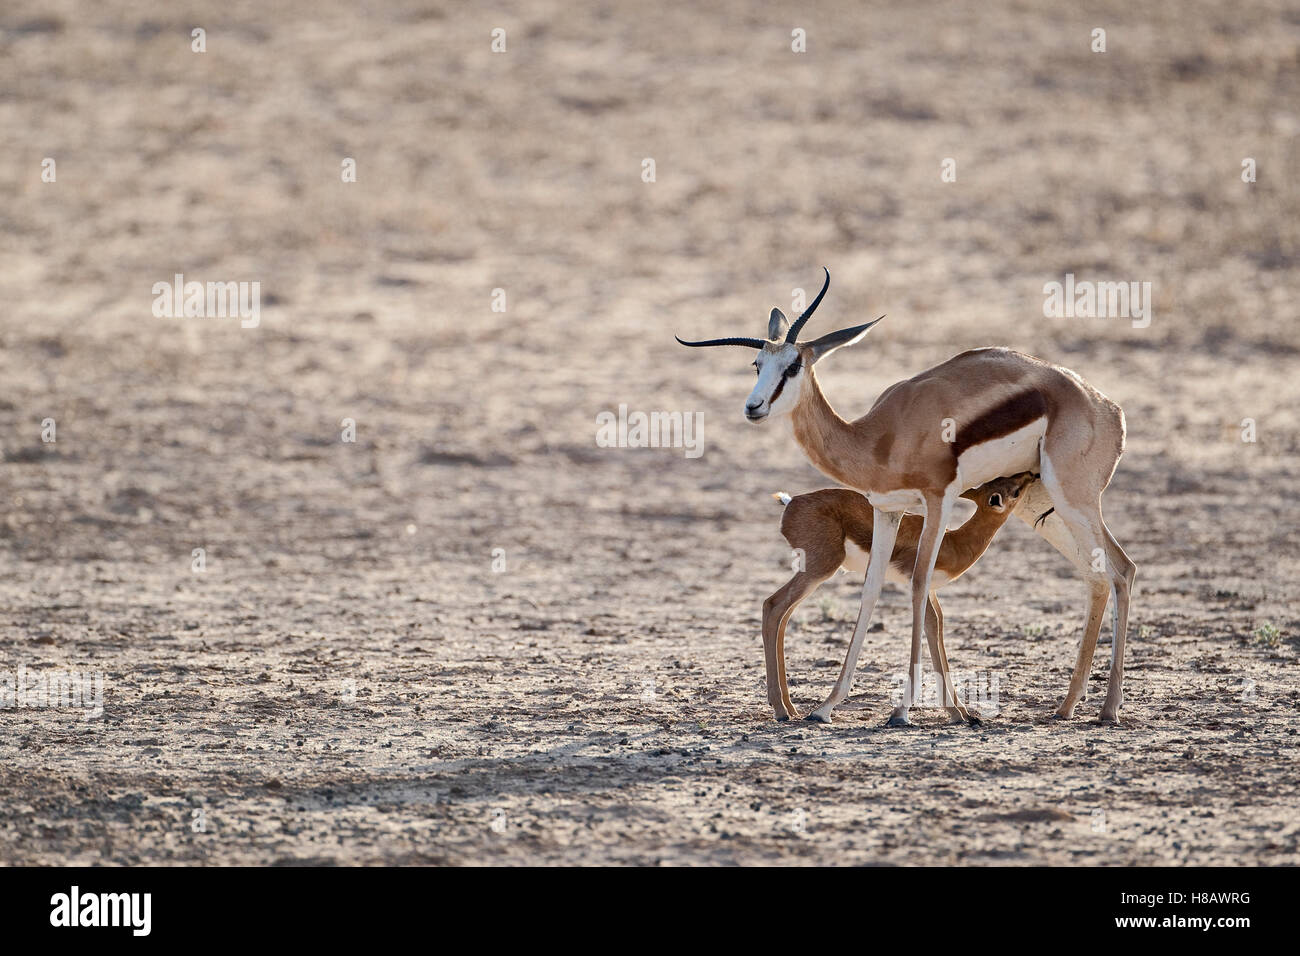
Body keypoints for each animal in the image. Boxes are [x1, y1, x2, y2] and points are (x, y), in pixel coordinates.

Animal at [764, 471, 1037, 724]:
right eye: (1014, 491)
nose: (1031, 474)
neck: (954, 543)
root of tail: (792, 502)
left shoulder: (931, 592)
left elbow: (937, 627)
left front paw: (962, 713)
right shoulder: (918, 584)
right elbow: (930, 627)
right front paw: (946, 713)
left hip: (812, 573)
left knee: (781, 615)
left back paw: (790, 708)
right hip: (820, 569)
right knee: (773, 605)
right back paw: (784, 710)